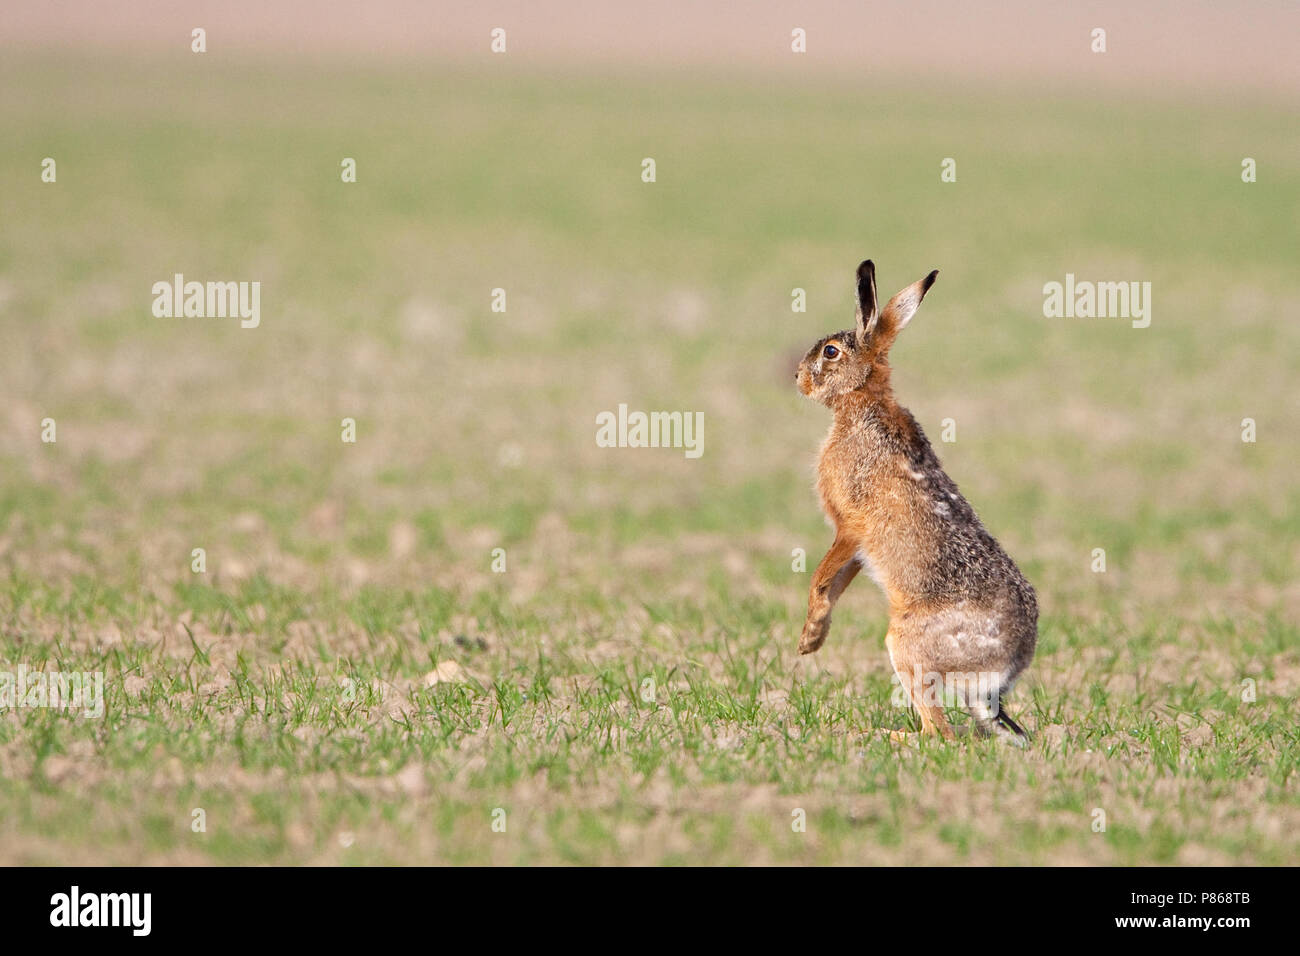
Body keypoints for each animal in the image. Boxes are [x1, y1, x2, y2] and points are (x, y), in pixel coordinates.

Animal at [794, 259, 1037, 742]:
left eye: (830, 352)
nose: (797, 376)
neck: (862, 401)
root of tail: (998, 679)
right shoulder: (857, 548)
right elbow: (835, 585)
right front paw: (814, 638)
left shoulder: (850, 526)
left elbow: (820, 577)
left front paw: (808, 636)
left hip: (906, 646)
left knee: (939, 734)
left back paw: (884, 737)